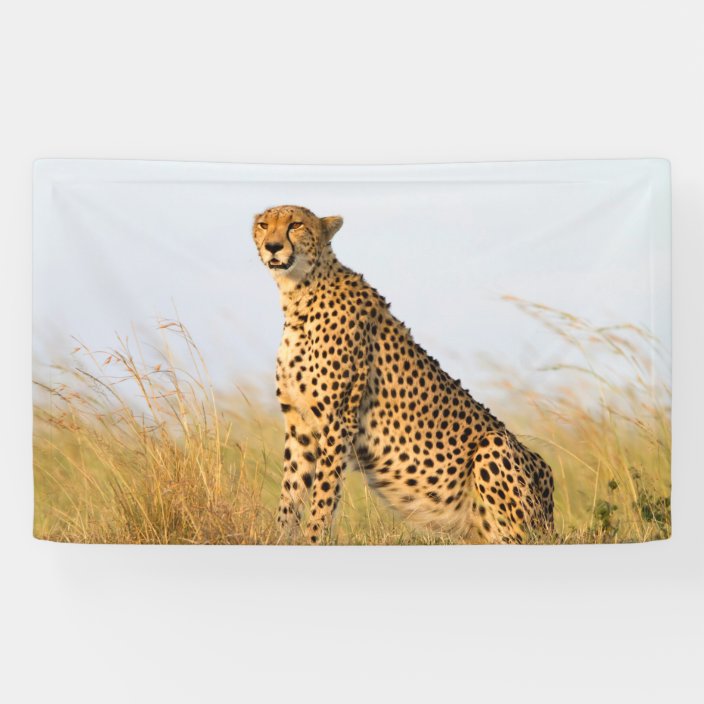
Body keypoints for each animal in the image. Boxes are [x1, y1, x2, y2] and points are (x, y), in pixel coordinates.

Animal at [252, 204, 554, 544]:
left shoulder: (337, 421)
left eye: (295, 225)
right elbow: (290, 493)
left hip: (495, 448)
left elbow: (323, 495)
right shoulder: (299, 425)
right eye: (263, 225)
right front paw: (280, 538)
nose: (273, 247)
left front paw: (314, 540)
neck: (300, 294)